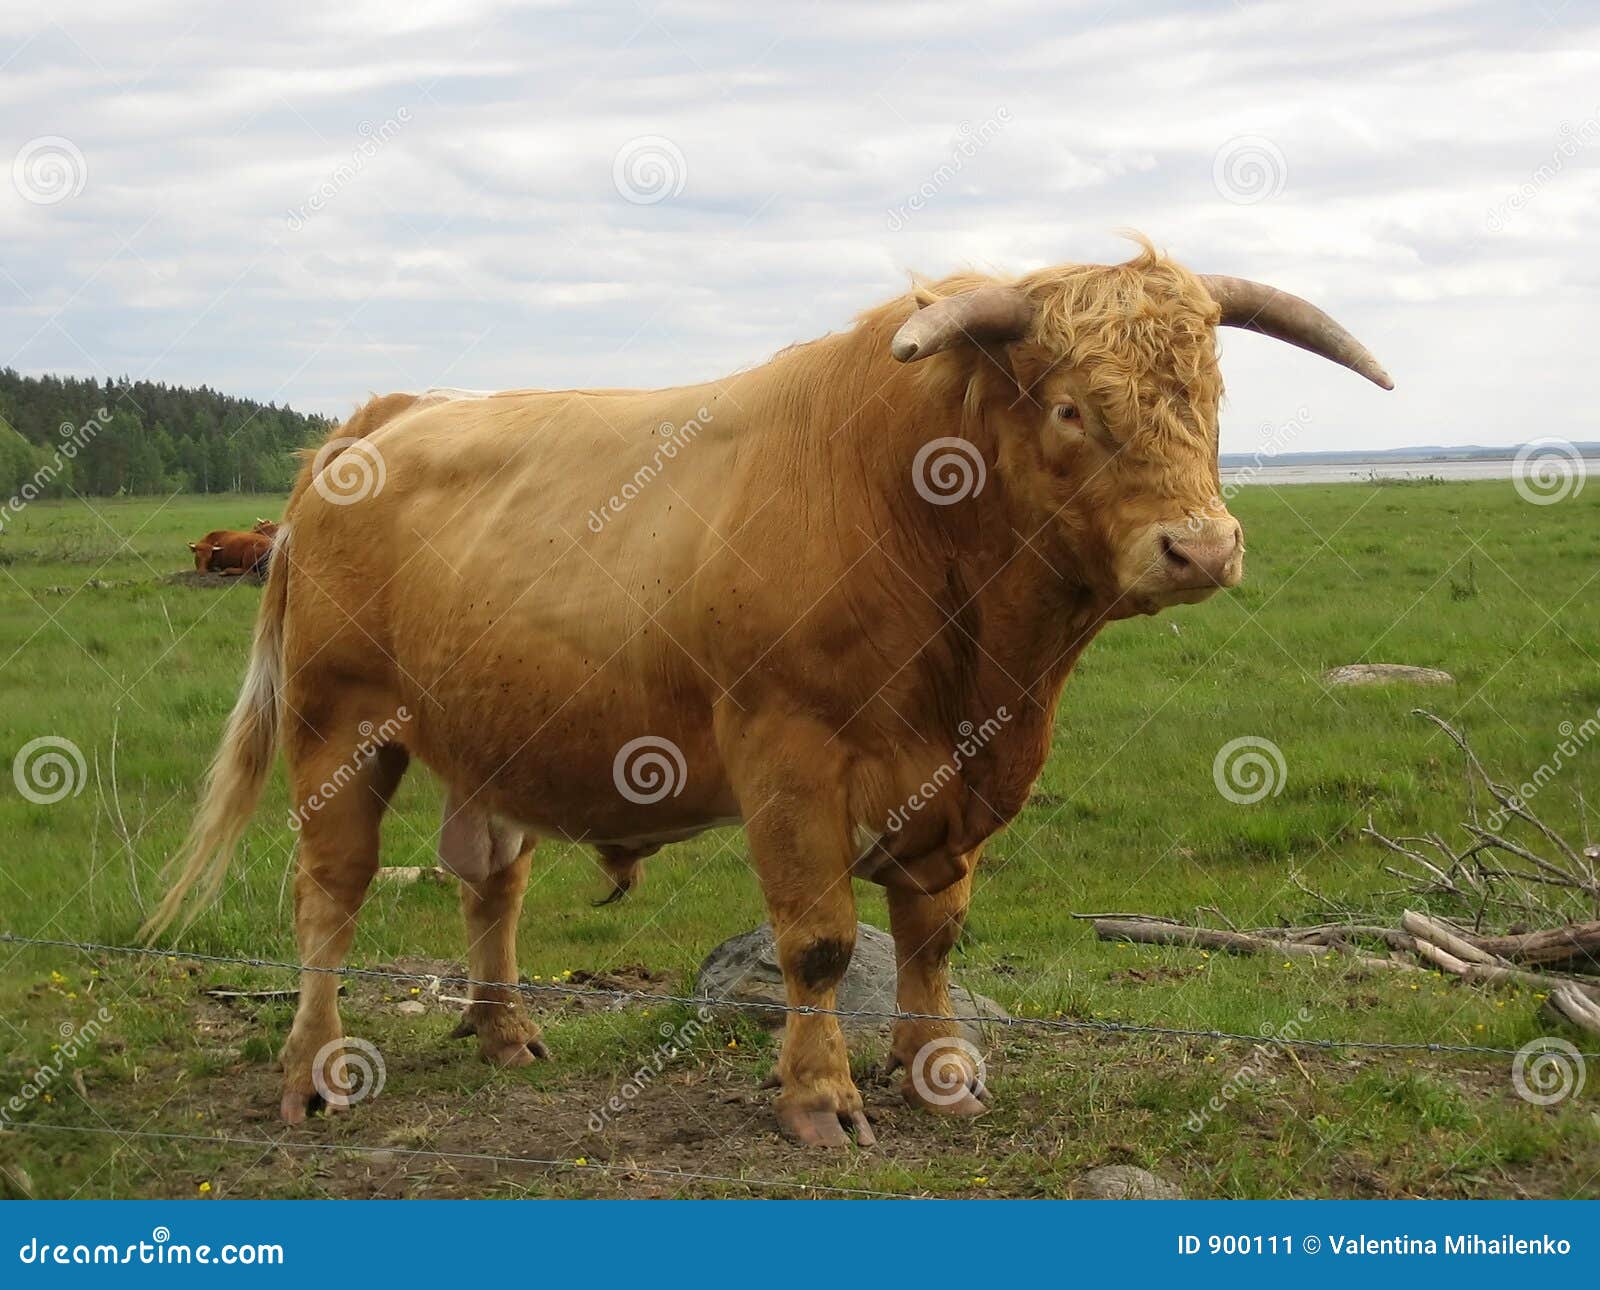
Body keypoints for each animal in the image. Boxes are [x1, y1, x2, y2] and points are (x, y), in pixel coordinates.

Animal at [146, 240, 1391, 1145]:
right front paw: (820, 1101)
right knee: (329, 895)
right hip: (339, 722)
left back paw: (505, 1036)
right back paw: (312, 1073)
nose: (1202, 547)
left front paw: (938, 1071)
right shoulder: (789, 755)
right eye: (1073, 408)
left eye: (1209, 400)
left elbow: (934, 932)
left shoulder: (960, 777)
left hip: (488, 731)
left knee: (489, 880)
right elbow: (822, 941)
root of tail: (389, 412)